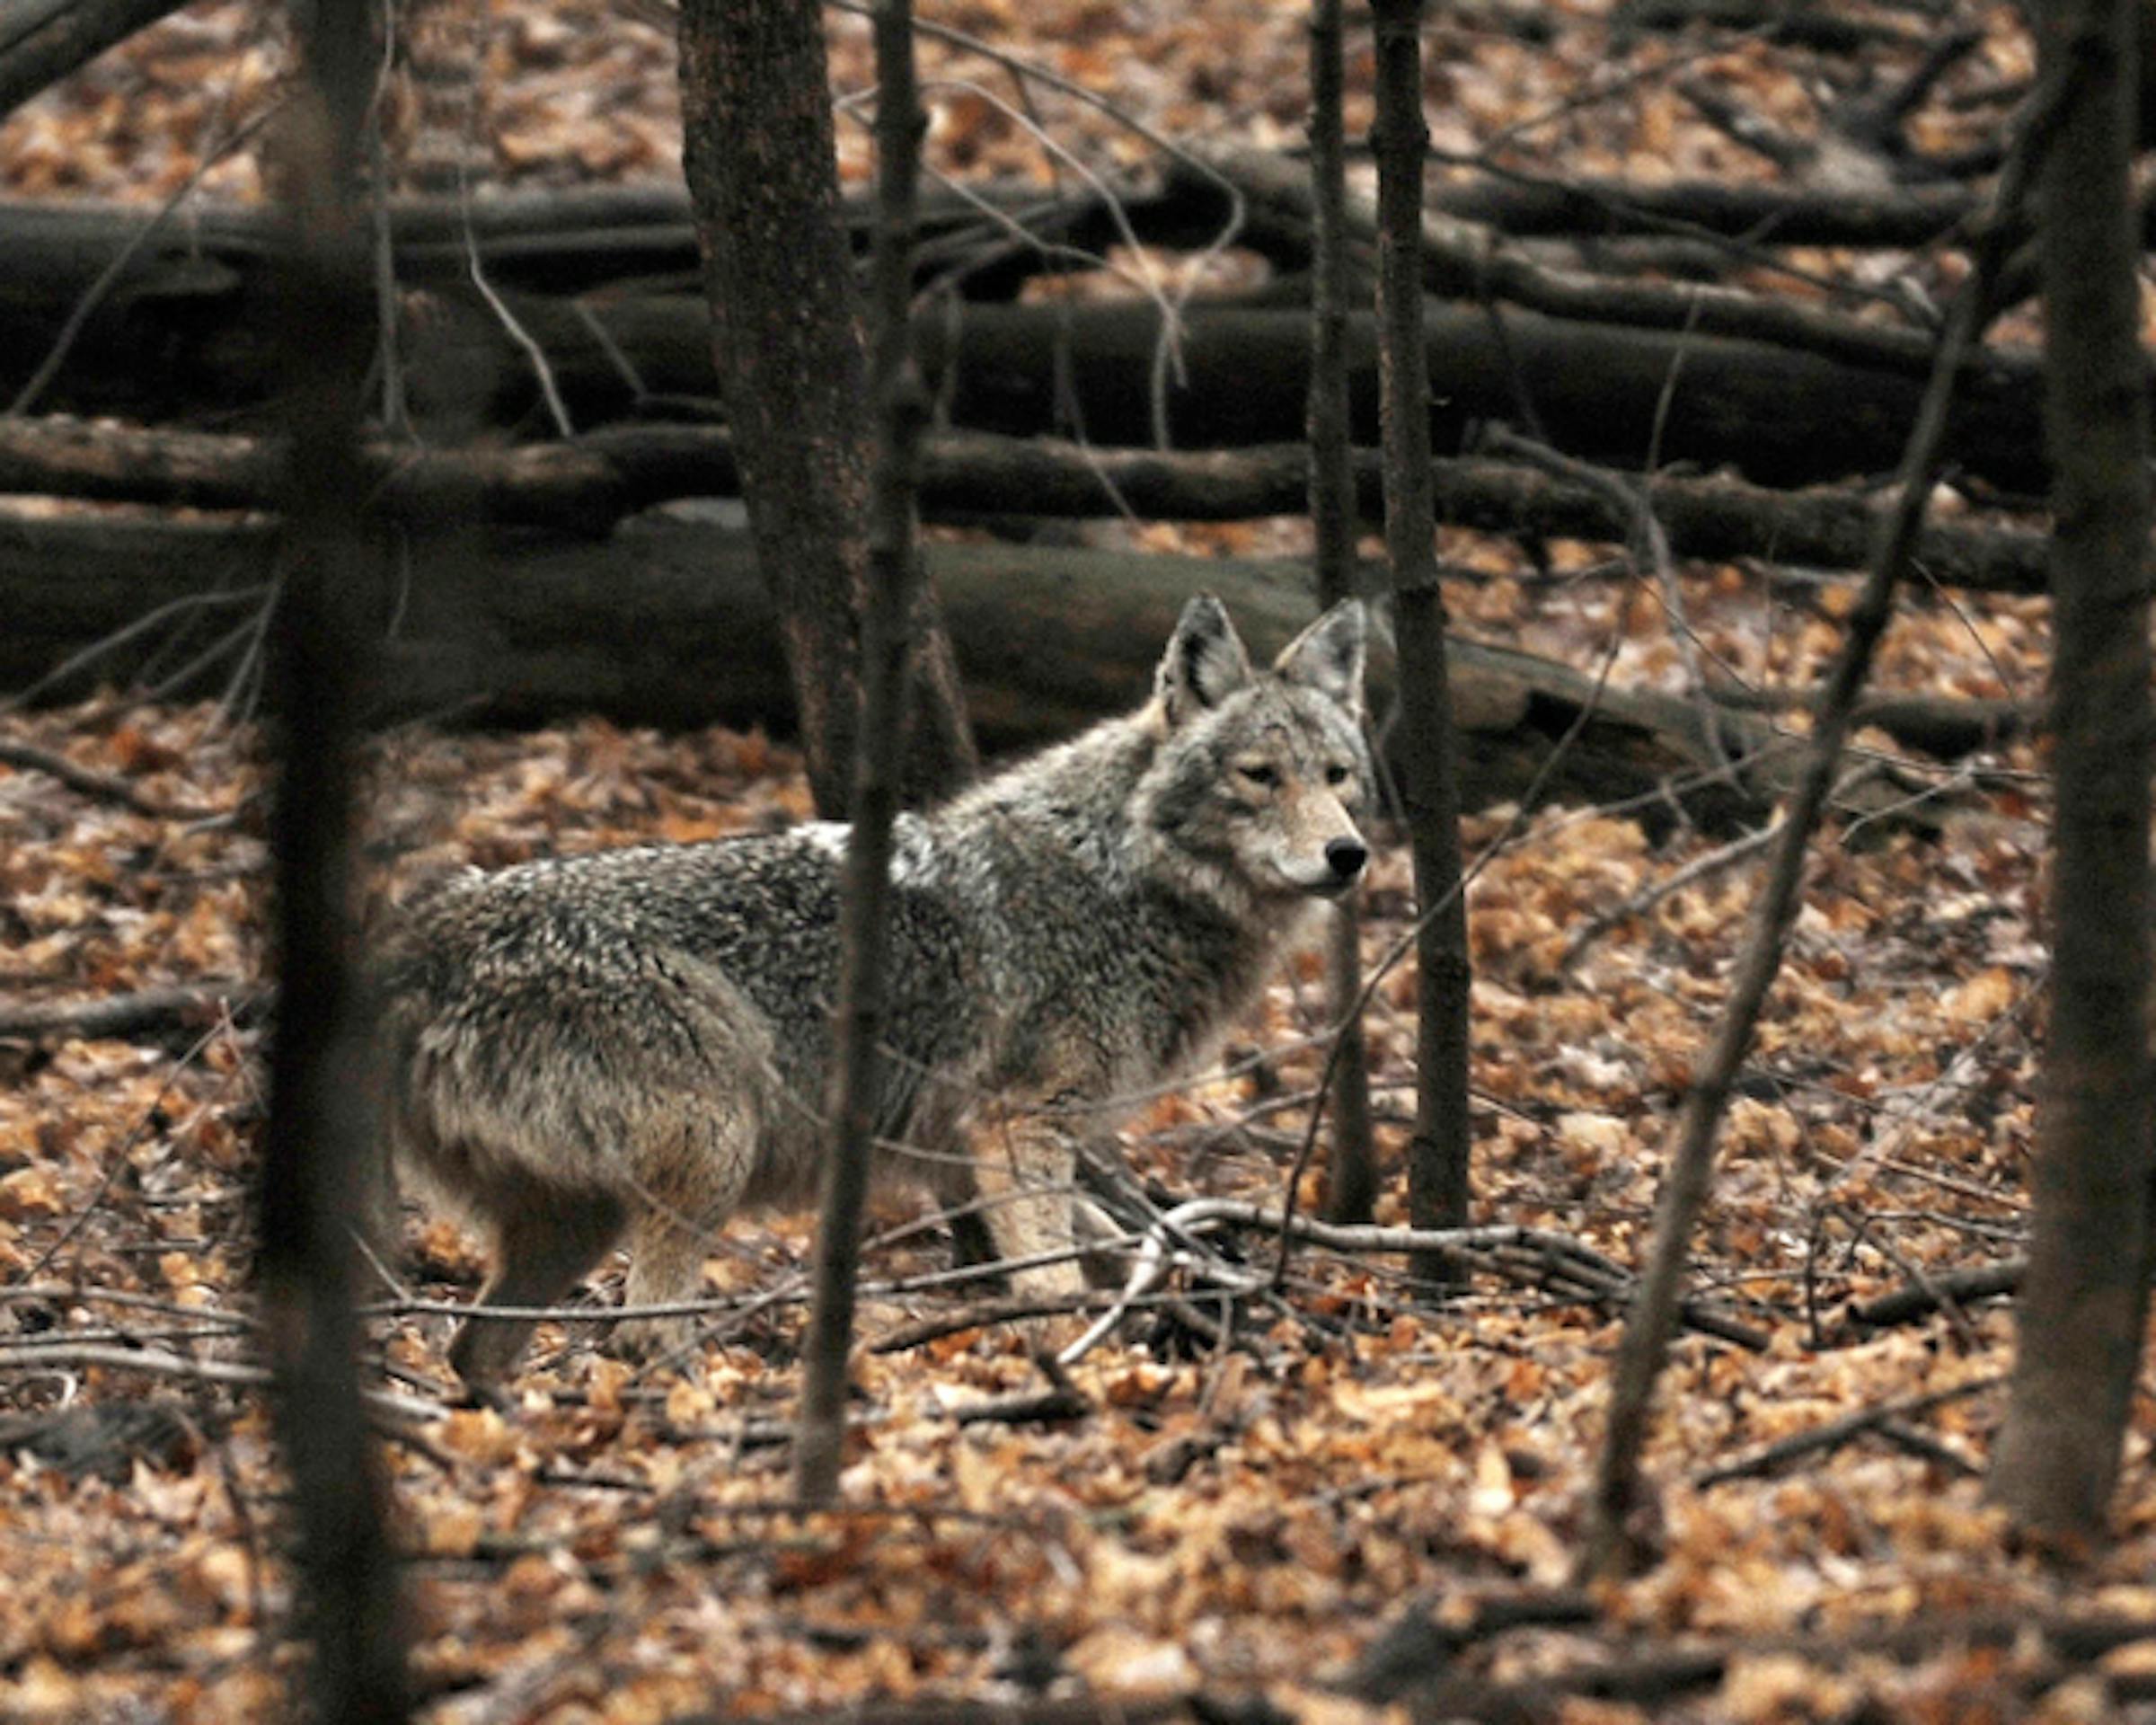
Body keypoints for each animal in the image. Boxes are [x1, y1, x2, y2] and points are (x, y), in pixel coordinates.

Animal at [373, 594, 1374, 1388]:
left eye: (1337, 777)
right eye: (1260, 777)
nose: (1349, 855)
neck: (1124, 872)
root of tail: (422, 938)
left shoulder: (968, 1150)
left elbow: (1113, 1251)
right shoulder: (1019, 1128)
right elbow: (1051, 1281)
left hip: (581, 1220)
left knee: (476, 1351)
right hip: (713, 1147)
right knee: (639, 1337)